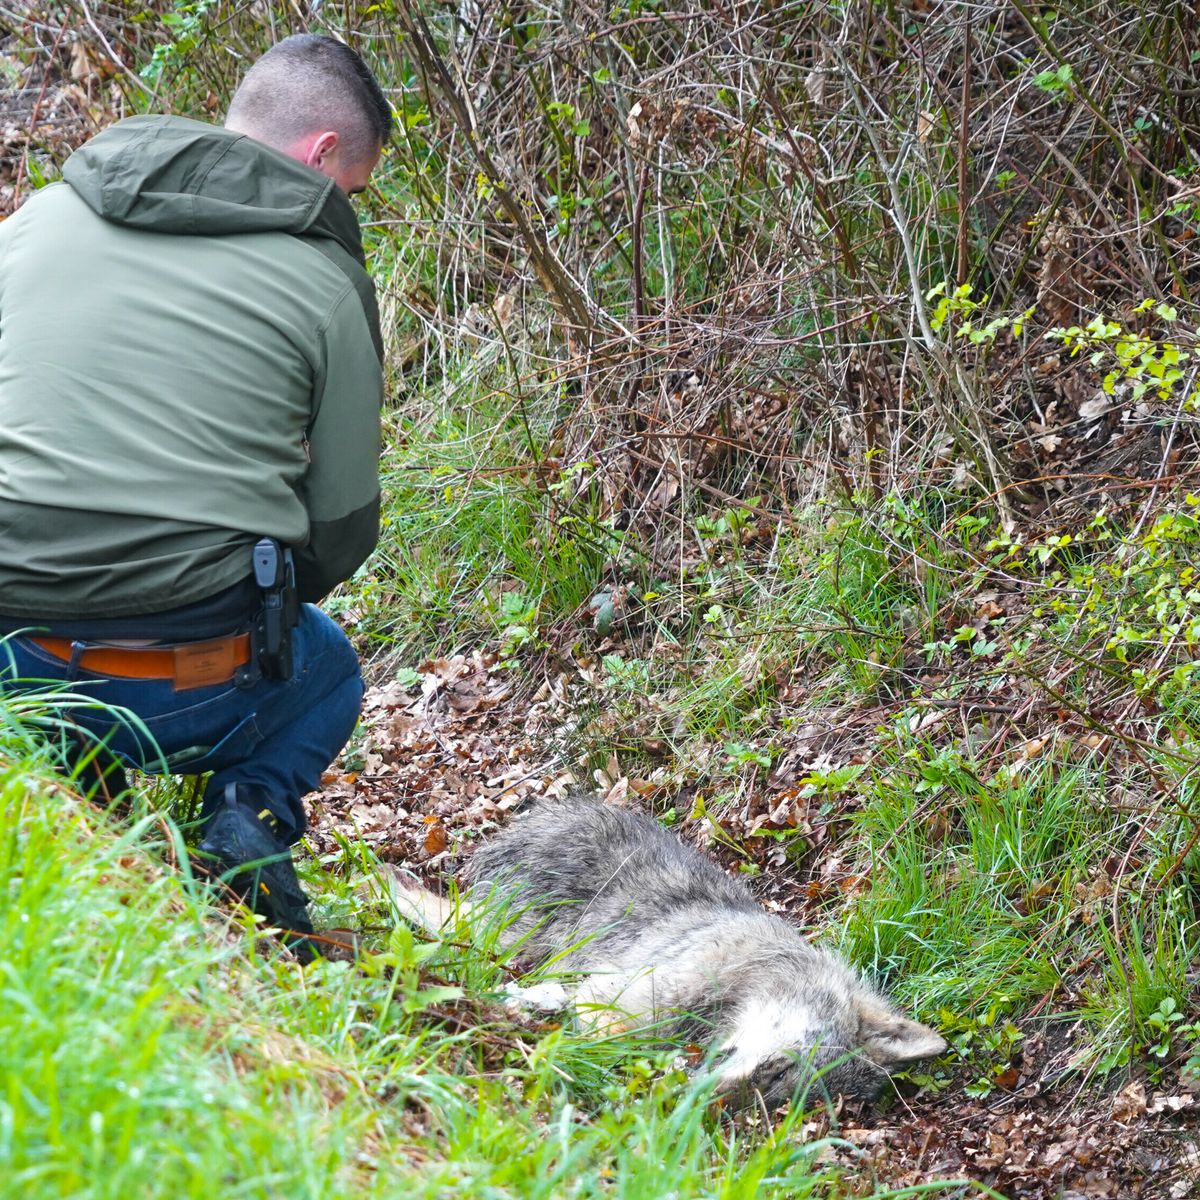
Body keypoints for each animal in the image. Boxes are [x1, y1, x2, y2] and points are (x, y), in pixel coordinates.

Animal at [392, 796, 946, 1108]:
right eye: (780, 1071)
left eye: (781, 1106)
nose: (702, 1102)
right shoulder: (620, 998)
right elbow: (594, 1027)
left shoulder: (607, 998)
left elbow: (565, 1008)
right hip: (507, 933)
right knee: (436, 913)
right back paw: (382, 878)